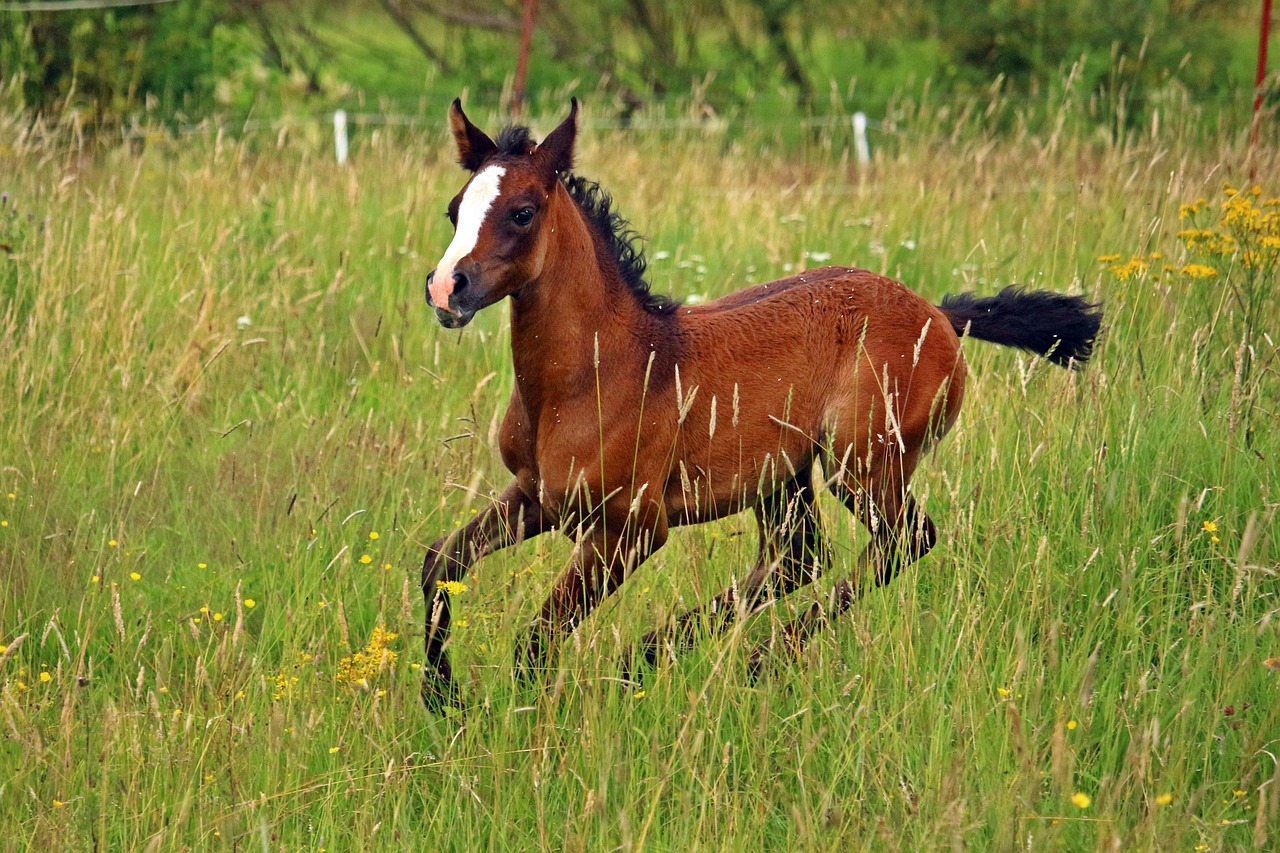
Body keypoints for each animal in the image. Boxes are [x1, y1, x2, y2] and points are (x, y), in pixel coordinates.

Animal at [418, 98, 1101, 711]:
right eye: (454, 210)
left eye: (522, 212)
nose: (446, 289)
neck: (595, 373)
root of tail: (939, 314)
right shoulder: (534, 496)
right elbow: (440, 560)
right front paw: (443, 697)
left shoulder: (630, 530)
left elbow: (535, 642)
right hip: (784, 479)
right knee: (800, 560)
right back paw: (660, 654)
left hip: (862, 465)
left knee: (903, 542)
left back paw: (750, 656)